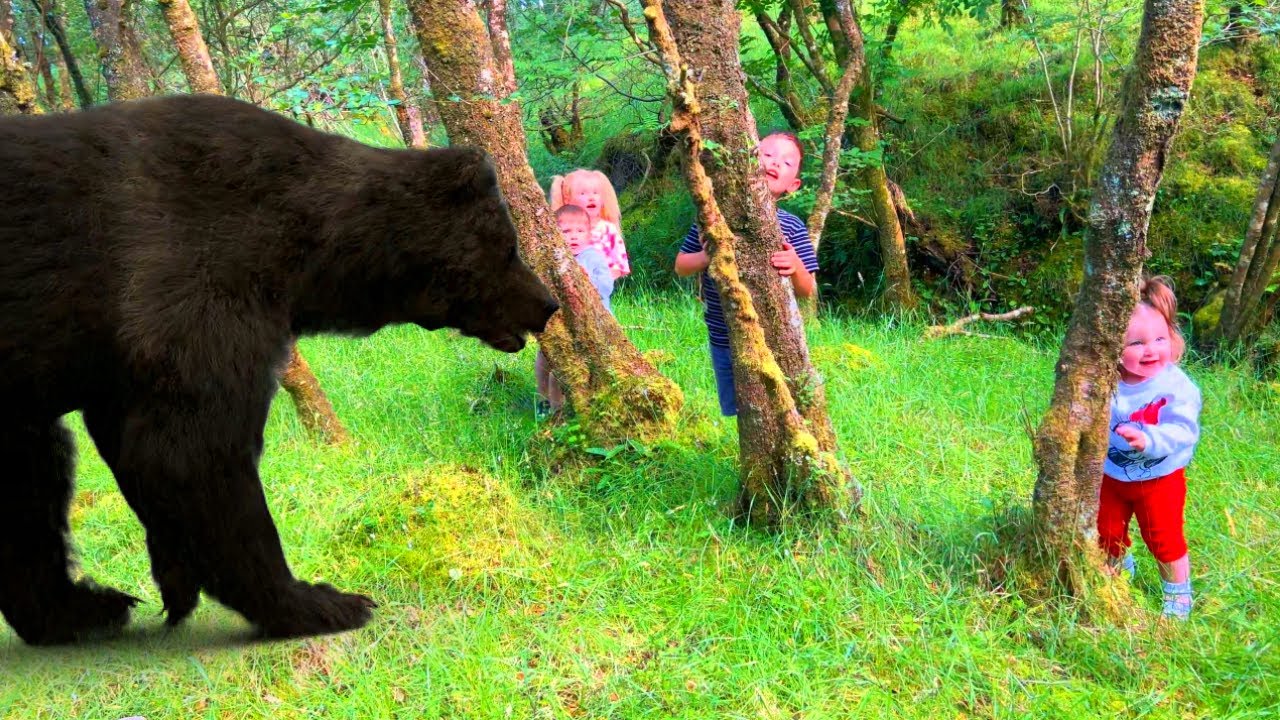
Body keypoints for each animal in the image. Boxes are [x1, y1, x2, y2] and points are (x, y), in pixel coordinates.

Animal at [0, 93, 558, 645]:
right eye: (510, 247)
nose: (548, 304)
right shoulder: (195, 282)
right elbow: (192, 449)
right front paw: (320, 601)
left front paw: (140, 590)